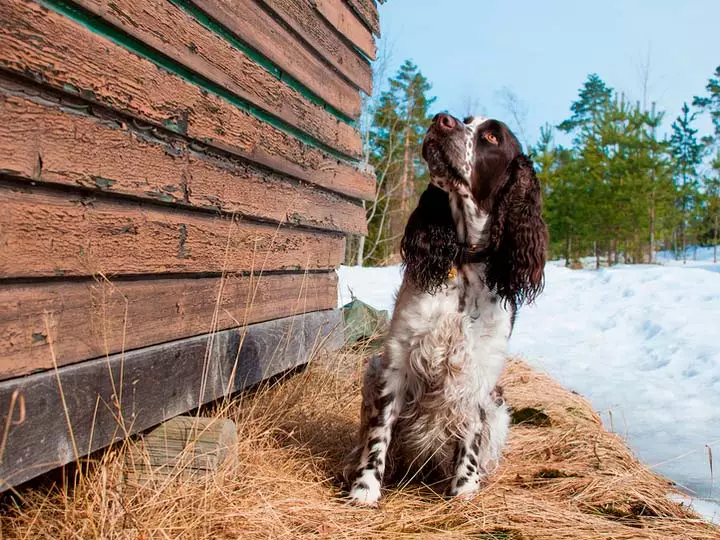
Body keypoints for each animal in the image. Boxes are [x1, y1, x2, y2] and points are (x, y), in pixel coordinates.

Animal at [346, 112, 548, 504]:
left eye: (492, 137)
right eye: (466, 120)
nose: (443, 120)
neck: (464, 262)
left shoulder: (478, 370)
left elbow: (470, 434)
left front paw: (464, 489)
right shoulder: (398, 358)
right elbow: (379, 432)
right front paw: (365, 487)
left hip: (499, 405)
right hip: (373, 369)